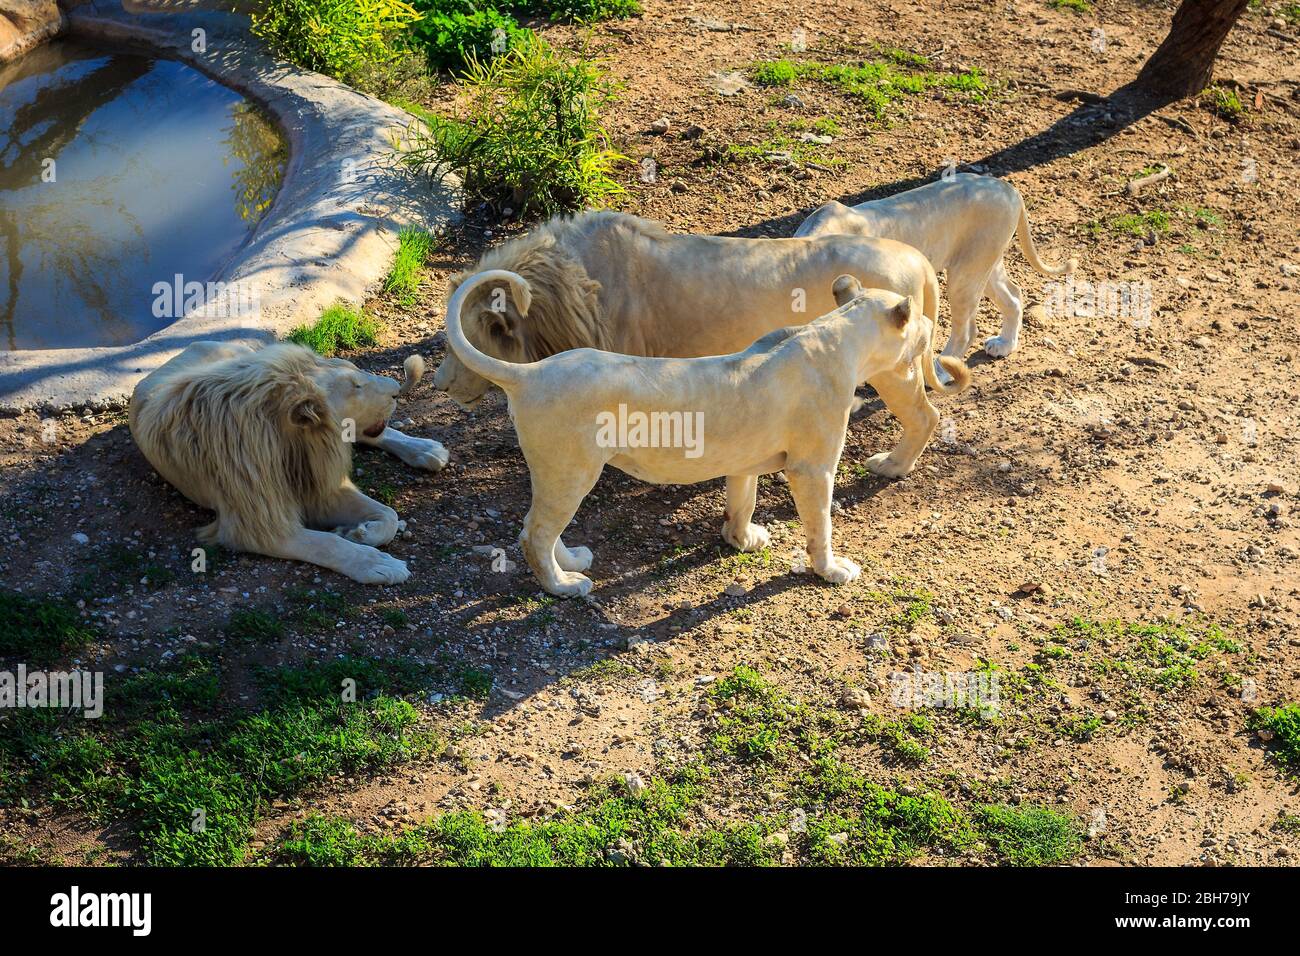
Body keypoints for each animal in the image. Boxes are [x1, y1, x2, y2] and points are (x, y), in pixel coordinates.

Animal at [129, 341, 439, 584]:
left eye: (358, 373)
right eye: (358, 386)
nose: (396, 390)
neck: (294, 445)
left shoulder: (320, 485)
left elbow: (389, 514)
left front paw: (359, 533)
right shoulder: (256, 525)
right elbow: (327, 544)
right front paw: (377, 563)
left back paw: (427, 449)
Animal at [432, 210, 957, 478]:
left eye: (455, 346)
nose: (438, 384)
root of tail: (917, 259)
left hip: (895, 368)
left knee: (926, 415)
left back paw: (892, 466)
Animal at [444, 268, 969, 596]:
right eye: (921, 323)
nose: (929, 327)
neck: (834, 333)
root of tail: (530, 373)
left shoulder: (745, 459)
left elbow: (743, 500)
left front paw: (742, 540)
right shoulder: (812, 468)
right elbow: (820, 525)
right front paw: (831, 570)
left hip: (562, 474)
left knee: (540, 529)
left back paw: (572, 559)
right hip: (572, 469)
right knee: (533, 533)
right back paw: (563, 586)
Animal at [795, 173, 1076, 359]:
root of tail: (1008, 188)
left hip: (965, 273)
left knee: (966, 330)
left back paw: (943, 369)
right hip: (985, 264)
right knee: (1014, 295)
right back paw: (1004, 345)